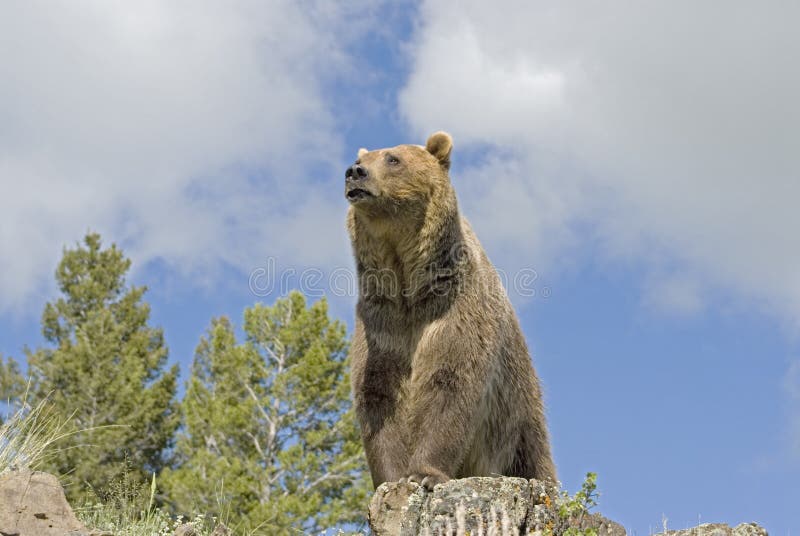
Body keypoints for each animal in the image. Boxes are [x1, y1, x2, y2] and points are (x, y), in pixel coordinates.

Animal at [345, 131, 556, 490]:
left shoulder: (454, 307)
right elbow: (379, 395)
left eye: (392, 159)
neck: (409, 285)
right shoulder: (382, 321)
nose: (355, 172)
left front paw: (424, 473)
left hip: (519, 416)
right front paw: (391, 479)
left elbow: (449, 381)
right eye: (362, 158)